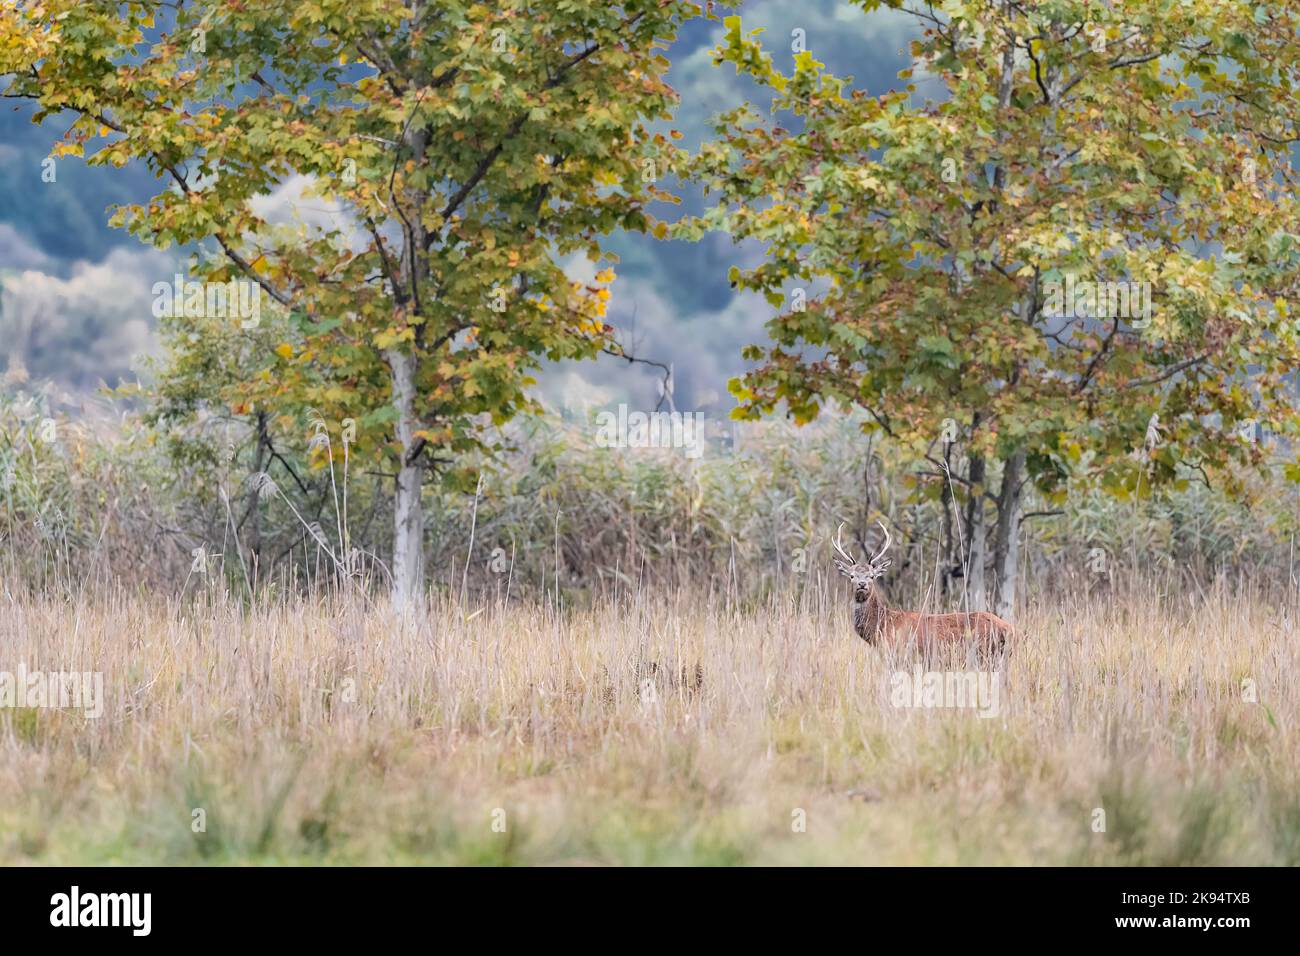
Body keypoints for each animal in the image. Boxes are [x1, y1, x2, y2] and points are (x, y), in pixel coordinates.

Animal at [833, 521, 1014, 660]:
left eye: (872, 576)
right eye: (851, 576)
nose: (862, 584)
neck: (882, 626)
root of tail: (1011, 629)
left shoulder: (901, 655)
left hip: (985, 654)